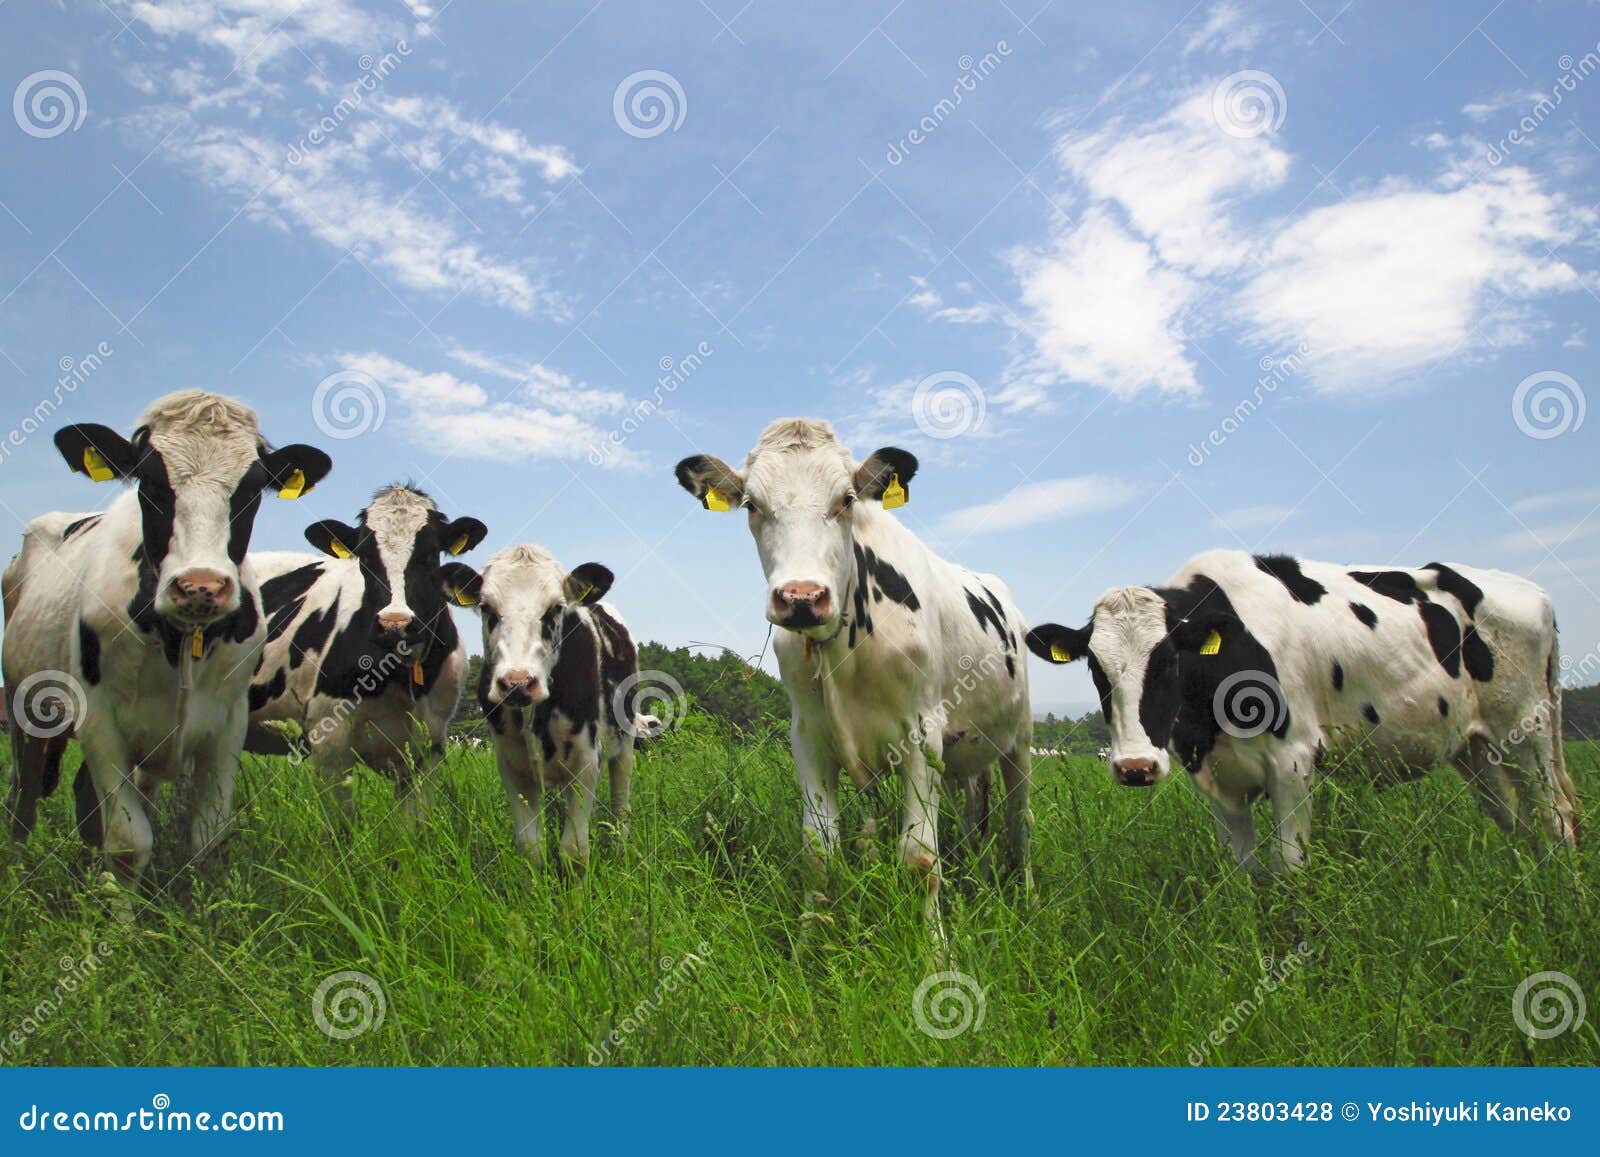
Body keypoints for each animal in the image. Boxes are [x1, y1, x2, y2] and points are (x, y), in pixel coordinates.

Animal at [2, 391, 332, 895]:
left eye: (253, 488)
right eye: (150, 479)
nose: (200, 586)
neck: (180, 641)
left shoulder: (227, 722)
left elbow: (207, 836)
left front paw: (201, 908)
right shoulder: (99, 719)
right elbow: (127, 842)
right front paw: (118, 913)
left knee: (82, 799)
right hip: (25, 712)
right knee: (23, 799)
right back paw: (20, 878)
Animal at [242, 484, 487, 818]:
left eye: (429, 554)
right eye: (365, 556)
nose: (395, 624)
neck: (398, 677)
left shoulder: (430, 746)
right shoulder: (328, 742)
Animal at [440, 545, 645, 872]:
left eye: (555, 608)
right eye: (486, 607)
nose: (518, 682)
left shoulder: (586, 760)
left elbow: (574, 850)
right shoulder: (511, 765)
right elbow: (530, 847)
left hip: (624, 744)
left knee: (620, 807)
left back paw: (620, 850)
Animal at [674, 419, 1034, 932]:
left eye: (845, 499)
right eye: (751, 504)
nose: (802, 597)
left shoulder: (923, 734)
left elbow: (920, 860)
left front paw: (934, 945)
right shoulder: (808, 736)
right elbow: (818, 853)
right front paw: (810, 939)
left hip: (1019, 739)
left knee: (1019, 822)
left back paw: (1027, 895)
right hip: (965, 750)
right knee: (975, 816)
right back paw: (978, 877)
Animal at [1026, 550, 1580, 872]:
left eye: (1170, 661)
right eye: (1096, 667)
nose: (1135, 768)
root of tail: (1535, 592)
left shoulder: (1292, 760)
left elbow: (1290, 865)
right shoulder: (1215, 774)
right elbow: (1245, 869)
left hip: (1527, 731)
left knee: (1557, 819)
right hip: (1477, 748)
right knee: (1518, 820)